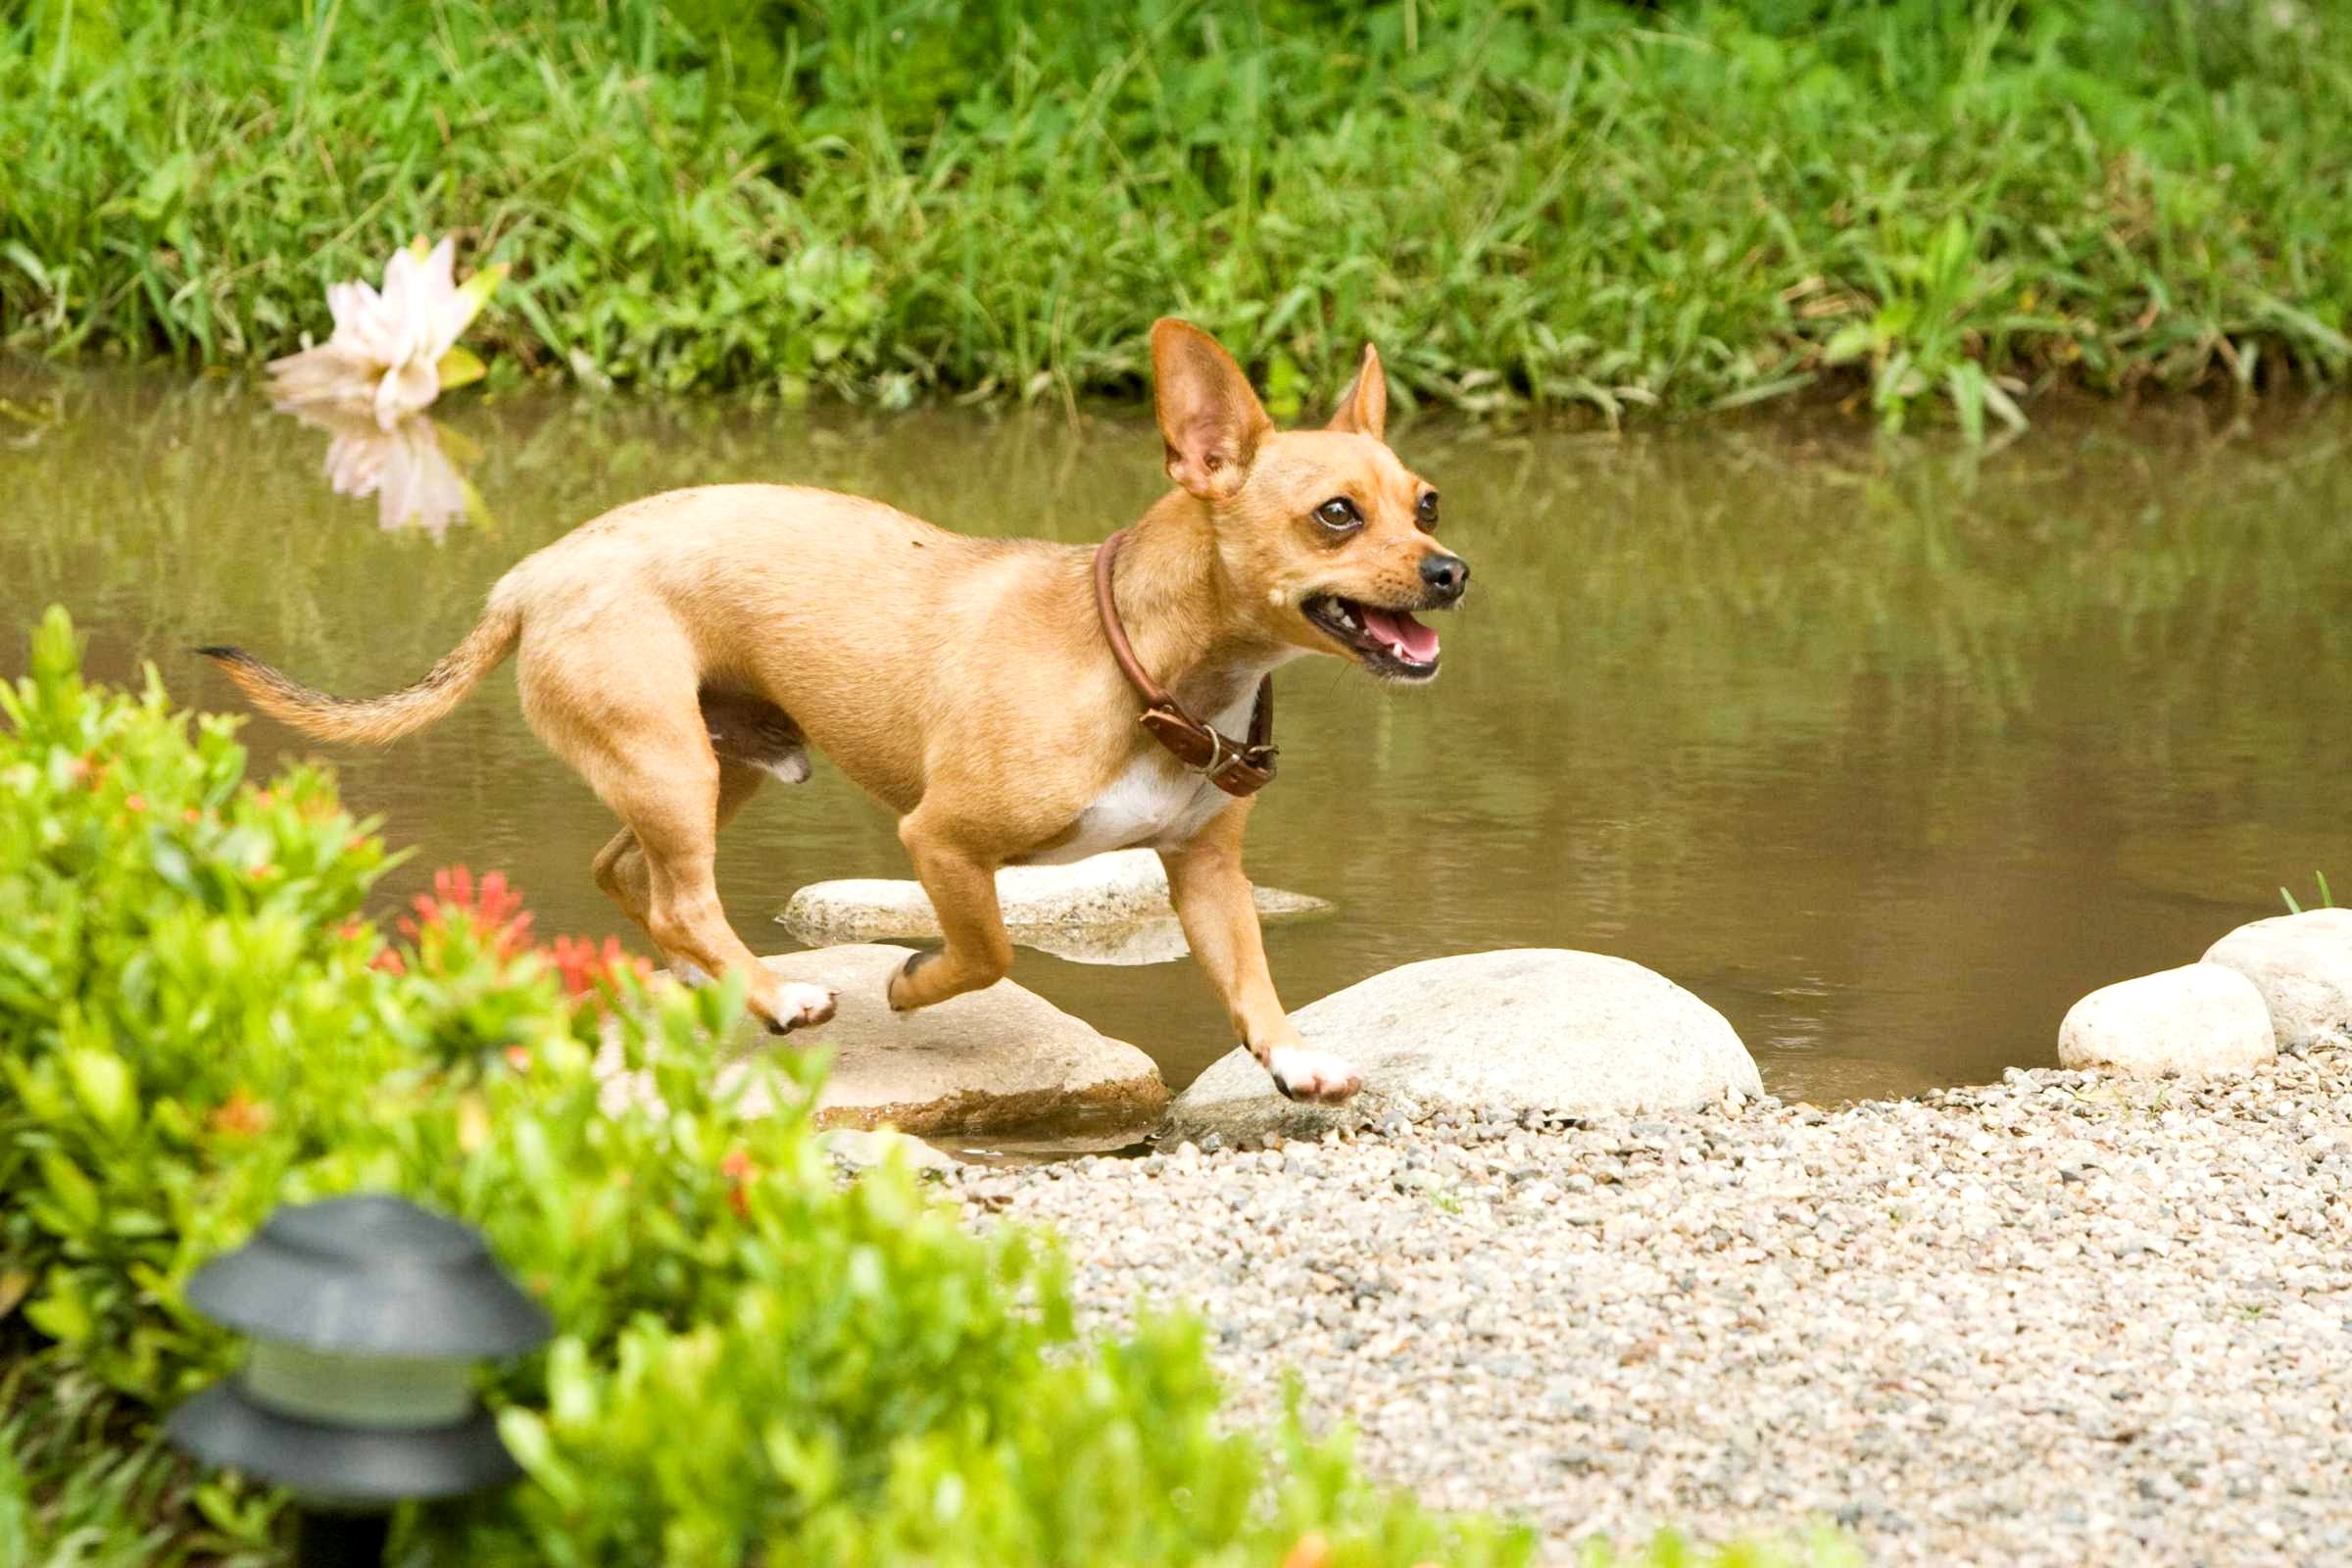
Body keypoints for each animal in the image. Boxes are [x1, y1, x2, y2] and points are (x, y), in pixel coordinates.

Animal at [216, 319, 1467, 1104]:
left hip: (713, 769)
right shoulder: (942, 841)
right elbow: (987, 946)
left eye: (1427, 502)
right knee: (680, 897)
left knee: (639, 884)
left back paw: (723, 985)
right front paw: (910, 981)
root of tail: (528, 578)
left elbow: (1249, 976)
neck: (1151, 666)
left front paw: (1292, 1059)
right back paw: (780, 993)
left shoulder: (1206, 871)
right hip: (674, 764)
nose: (1452, 570)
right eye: (1338, 515)